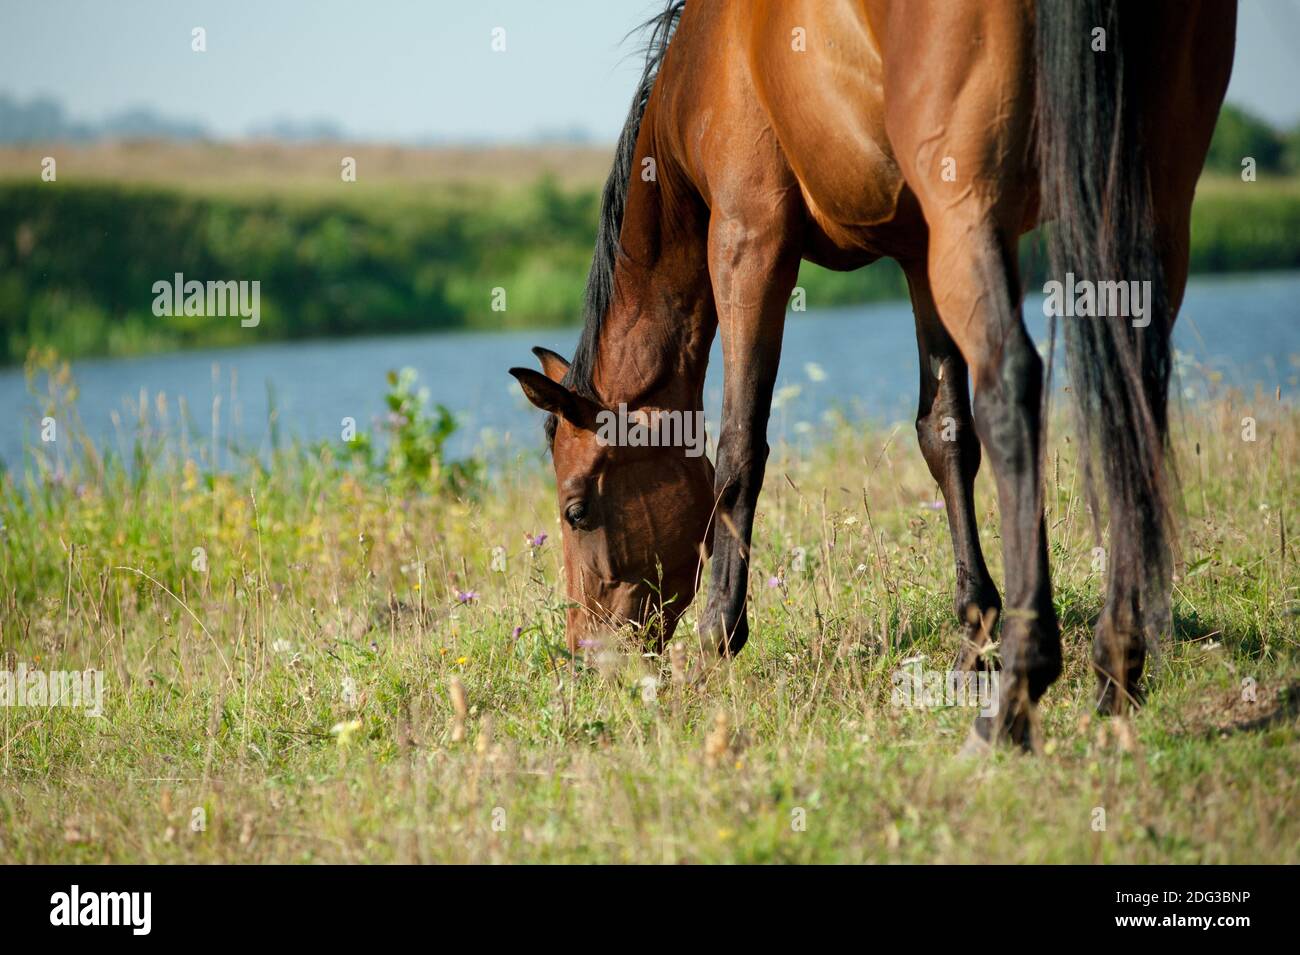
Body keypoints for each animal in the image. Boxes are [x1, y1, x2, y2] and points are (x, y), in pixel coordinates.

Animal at [509, 0, 1236, 748]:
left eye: (576, 509)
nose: (591, 655)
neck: (702, 67)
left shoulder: (750, 237)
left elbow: (740, 446)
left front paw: (717, 638)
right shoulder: (918, 251)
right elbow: (944, 435)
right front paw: (973, 643)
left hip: (971, 207)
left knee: (1015, 388)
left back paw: (1015, 699)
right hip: (1149, 200)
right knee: (1132, 395)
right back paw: (1116, 667)